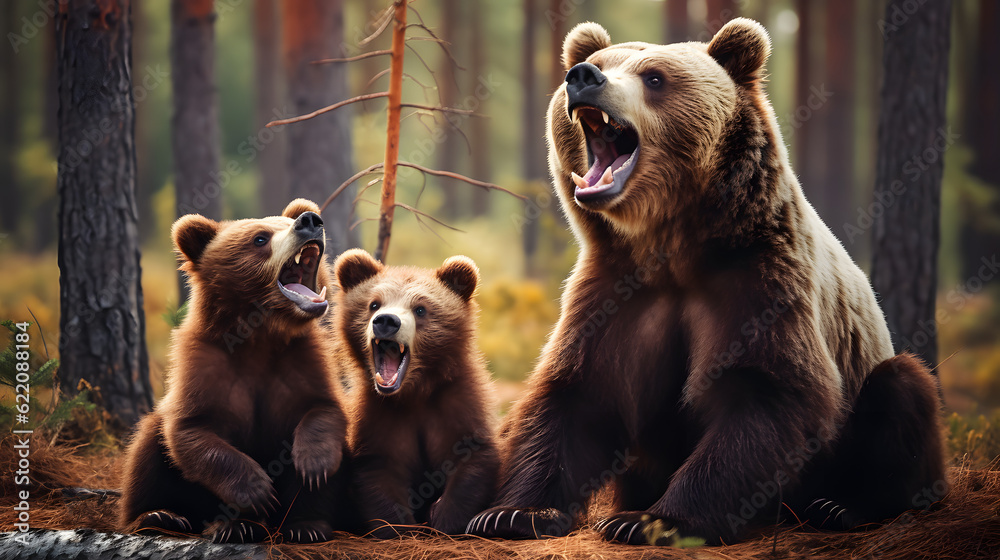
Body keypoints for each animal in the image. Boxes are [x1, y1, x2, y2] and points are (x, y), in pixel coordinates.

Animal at [119, 199, 349, 544]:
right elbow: (192, 430)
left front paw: (313, 463)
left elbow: (324, 409)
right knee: (146, 453)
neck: (260, 338)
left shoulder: (303, 360)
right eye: (260, 238)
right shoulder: (203, 366)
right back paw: (166, 517)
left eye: (289, 220)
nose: (310, 220)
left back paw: (306, 527)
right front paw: (256, 491)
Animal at [331, 249, 499, 538]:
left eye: (420, 309)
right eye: (373, 304)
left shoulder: (458, 403)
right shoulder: (378, 416)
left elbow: (472, 459)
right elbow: (378, 473)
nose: (386, 321)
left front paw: (444, 518)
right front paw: (402, 527)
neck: (414, 392)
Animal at [467, 19, 946, 545]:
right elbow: (574, 395)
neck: (670, 248)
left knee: (901, 390)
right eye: (599, 62)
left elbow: (767, 393)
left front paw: (651, 520)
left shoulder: (759, 280)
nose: (583, 76)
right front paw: (513, 513)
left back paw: (842, 506)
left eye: (654, 77)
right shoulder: (614, 292)